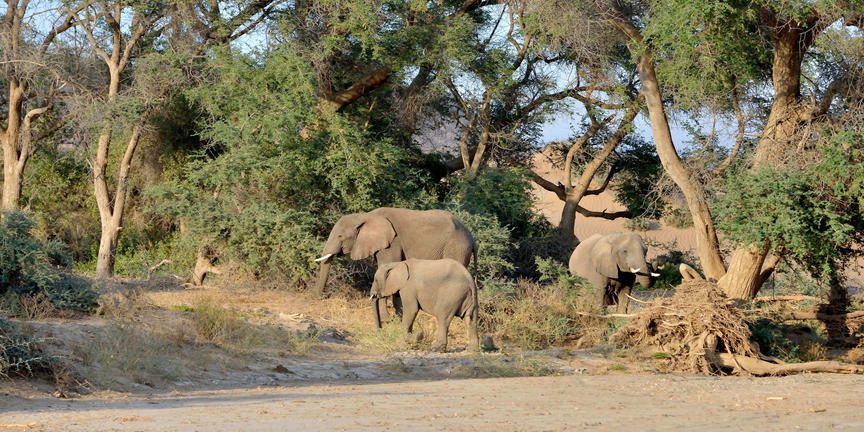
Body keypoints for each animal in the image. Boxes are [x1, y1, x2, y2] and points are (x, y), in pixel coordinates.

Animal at [314, 207, 476, 317]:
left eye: (340, 236)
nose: (323, 296)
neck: (366, 216)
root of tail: (472, 238)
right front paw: (399, 315)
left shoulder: (392, 242)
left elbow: (387, 266)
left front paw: (387, 319)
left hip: (457, 248)